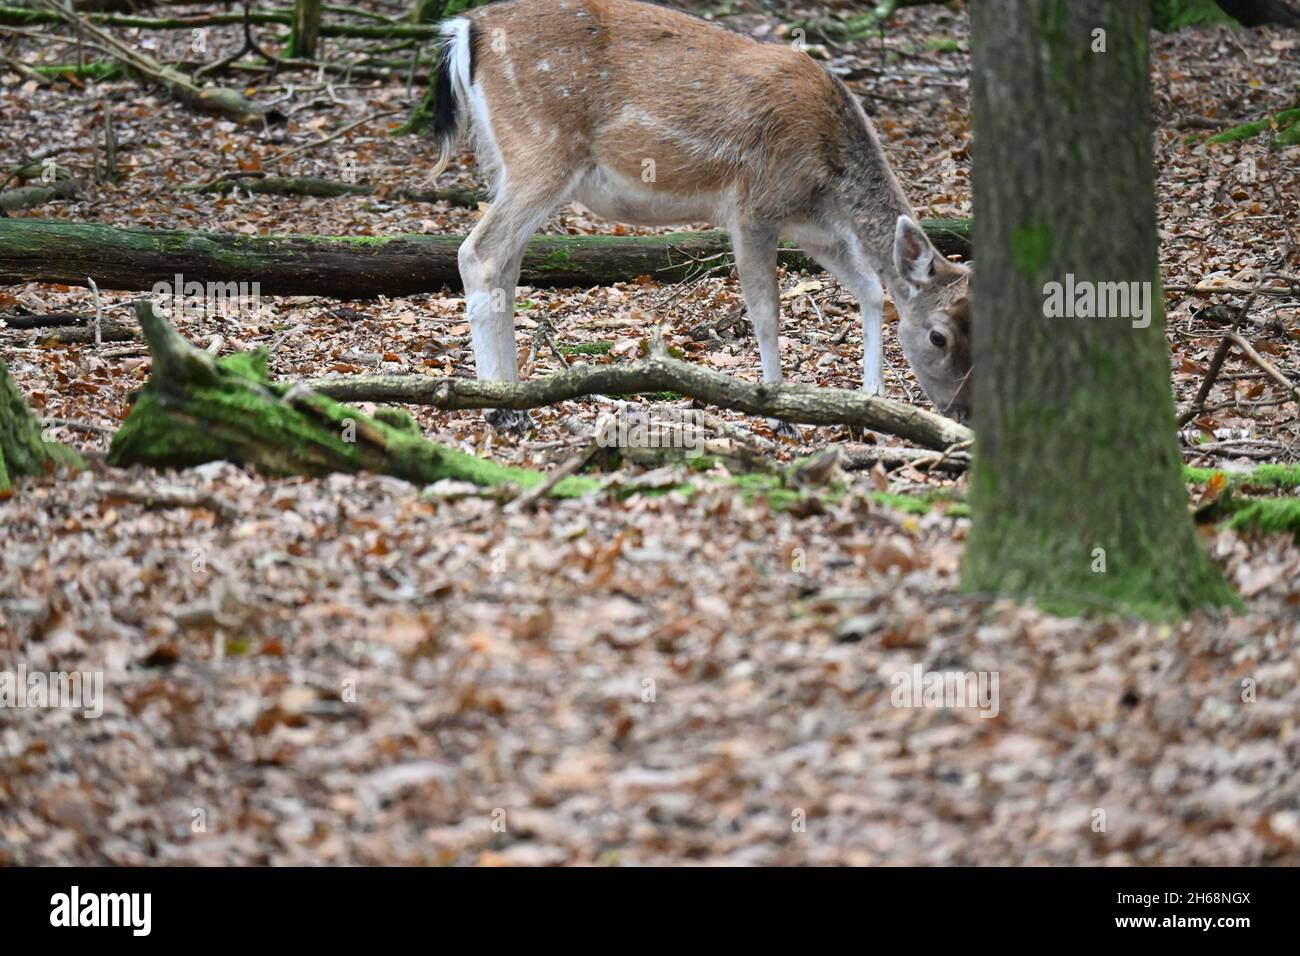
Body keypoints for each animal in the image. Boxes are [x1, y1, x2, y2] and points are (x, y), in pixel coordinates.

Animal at [426, 0, 972, 433]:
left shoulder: (812, 226)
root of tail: (466, 27)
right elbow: (766, 312)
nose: (961, 411)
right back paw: (498, 409)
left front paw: (871, 398)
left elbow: (871, 289)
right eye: (938, 336)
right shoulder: (753, 207)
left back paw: (515, 398)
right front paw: (778, 412)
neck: (830, 175)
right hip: (541, 148)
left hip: (505, 161)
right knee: (479, 252)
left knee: (507, 264)